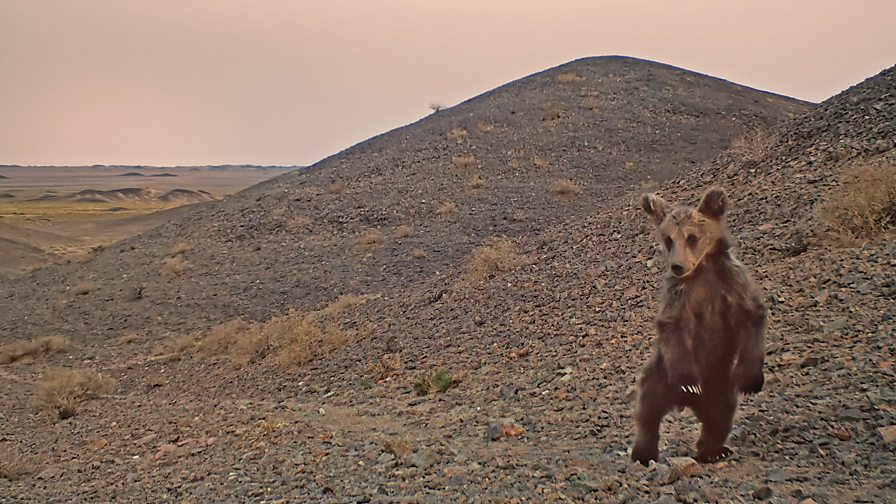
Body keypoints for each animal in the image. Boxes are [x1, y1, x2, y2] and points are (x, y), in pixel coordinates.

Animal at [631, 187, 767, 465]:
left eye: (692, 237)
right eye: (668, 239)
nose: (677, 265)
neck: (702, 269)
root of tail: (686, 404)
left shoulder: (732, 282)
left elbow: (751, 316)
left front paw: (750, 380)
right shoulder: (680, 295)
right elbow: (674, 327)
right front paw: (689, 382)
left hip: (719, 384)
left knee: (720, 416)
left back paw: (713, 450)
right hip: (661, 376)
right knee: (648, 411)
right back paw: (643, 453)